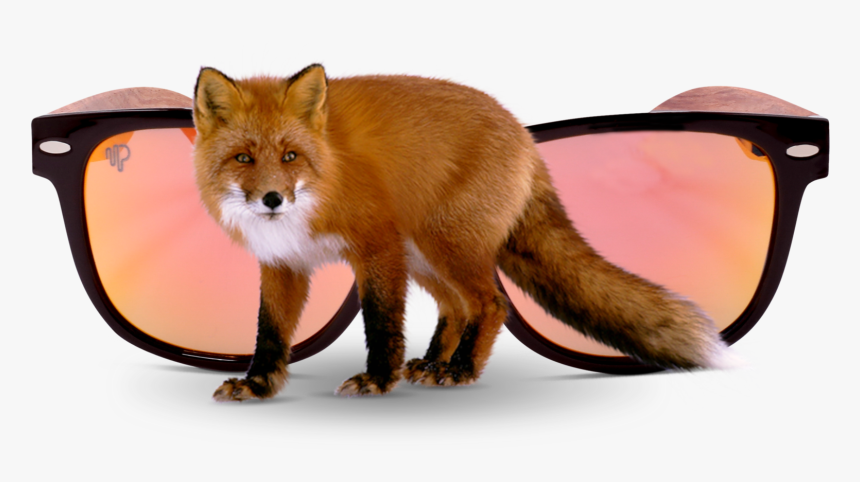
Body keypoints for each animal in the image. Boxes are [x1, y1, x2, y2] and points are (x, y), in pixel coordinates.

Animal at [191, 64, 730, 401]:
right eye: (243, 158)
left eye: (290, 157)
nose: (273, 199)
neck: (328, 177)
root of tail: (525, 137)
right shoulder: (284, 263)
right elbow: (270, 332)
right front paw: (258, 385)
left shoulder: (377, 247)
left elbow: (381, 323)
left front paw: (377, 380)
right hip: (426, 255)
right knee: (456, 308)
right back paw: (434, 364)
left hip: (442, 245)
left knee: (491, 303)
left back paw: (461, 370)